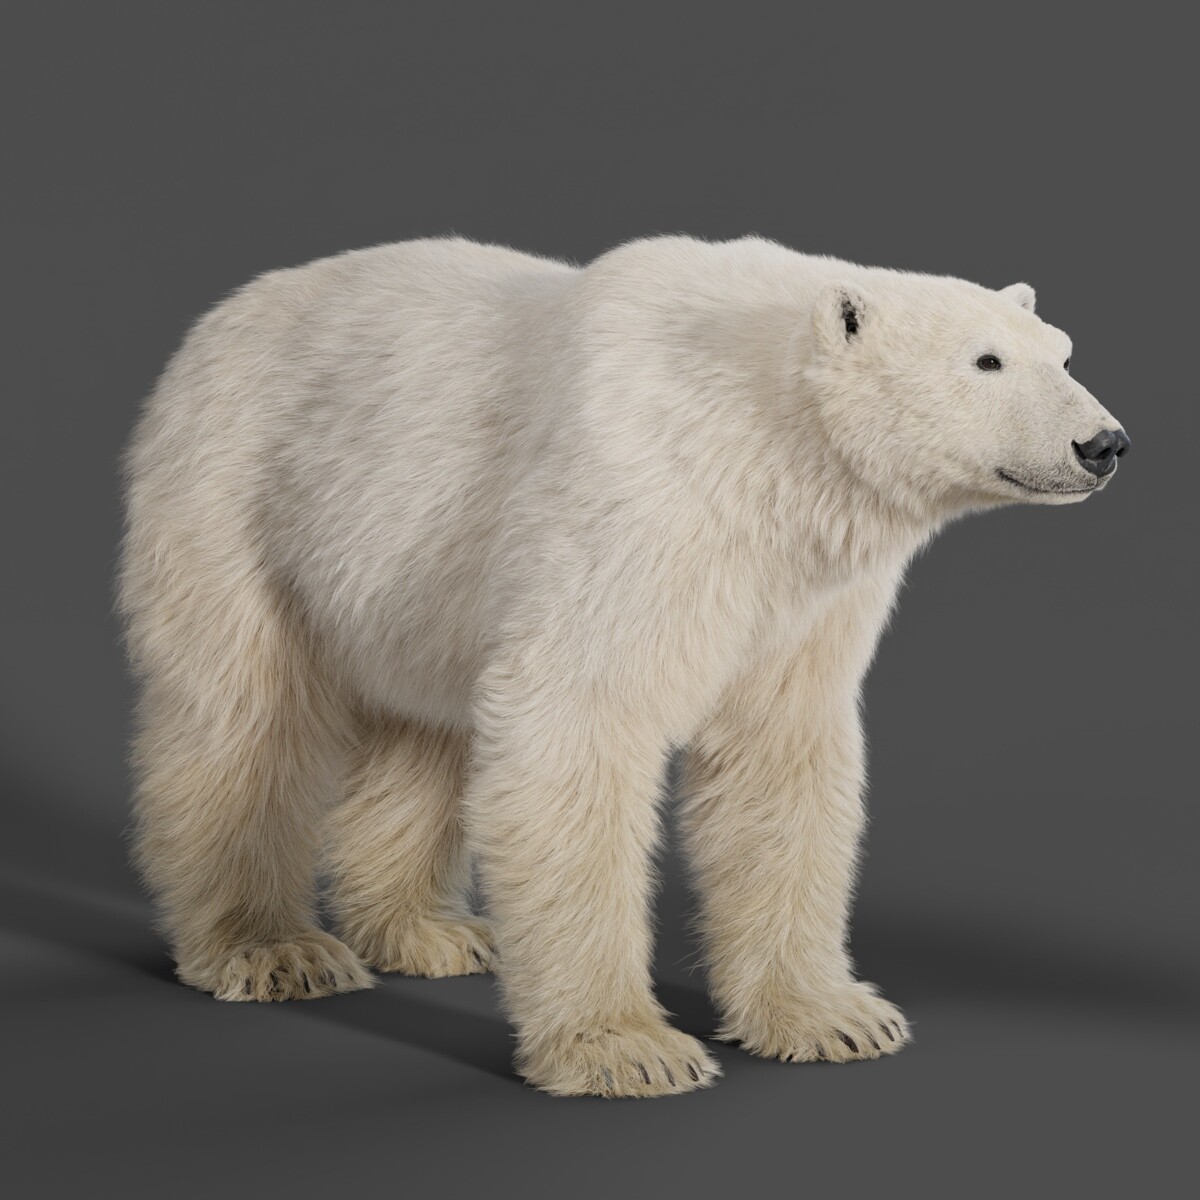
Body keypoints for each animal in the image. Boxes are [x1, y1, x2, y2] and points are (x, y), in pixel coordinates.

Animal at [119, 235, 1129, 1097]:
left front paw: (834, 1017)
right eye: (985, 361)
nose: (1105, 444)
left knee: (425, 726)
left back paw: (429, 931)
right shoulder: (639, 502)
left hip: (409, 570)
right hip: (244, 488)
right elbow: (578, 718)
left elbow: (780, 755)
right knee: (247, 715)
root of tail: (221, 318)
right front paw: (627, 1050)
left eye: (1062, 351)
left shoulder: (803, 586)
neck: (764, 430)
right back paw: (272, 949)